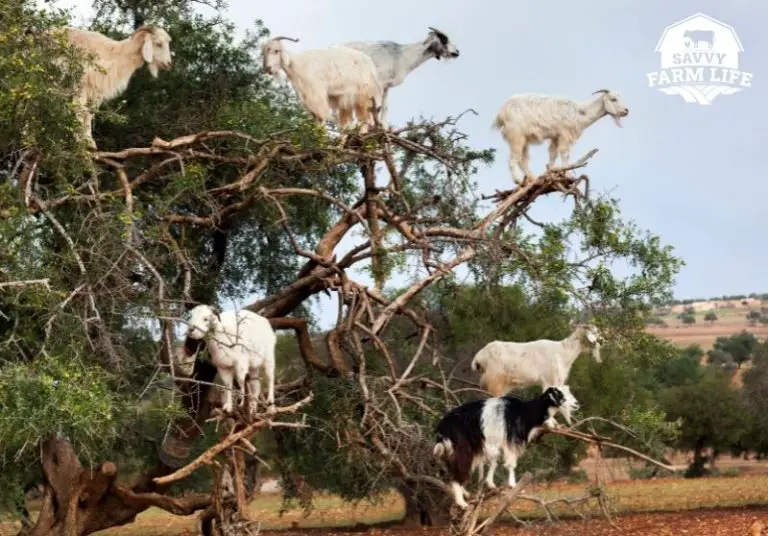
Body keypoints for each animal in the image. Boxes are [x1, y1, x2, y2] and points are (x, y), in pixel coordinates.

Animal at [433, 386, 579, 508]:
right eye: (560, 394)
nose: (576, 404)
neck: (523, 413)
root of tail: (442, 427)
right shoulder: (509, 441)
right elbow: (510, 464)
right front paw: (513, 485)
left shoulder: (496, 443)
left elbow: (494, 462)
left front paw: (490, 483)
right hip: (463, 448)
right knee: (457, 473)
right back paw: (461, 503)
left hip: (457, 449)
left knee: (452, 471)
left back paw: (465, 494)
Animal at [471, 324, 602, 417]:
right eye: (594, 332)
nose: (601, 341)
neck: (564, 352)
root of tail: (479, 357)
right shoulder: (550, 380)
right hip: (495, 380)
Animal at [492, 89, 629, 185]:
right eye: (613, 99)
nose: (626, 110)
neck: (580, 112)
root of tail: (501, 113)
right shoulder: (565, 134)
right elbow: (564, 154)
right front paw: (566, 174)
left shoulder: (555, 136)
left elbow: (553, 154)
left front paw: (552, 172)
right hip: (516, 136)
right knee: (512, 159)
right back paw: (518, 180)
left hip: (524, 139)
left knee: (523, 160)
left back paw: (532, 178)